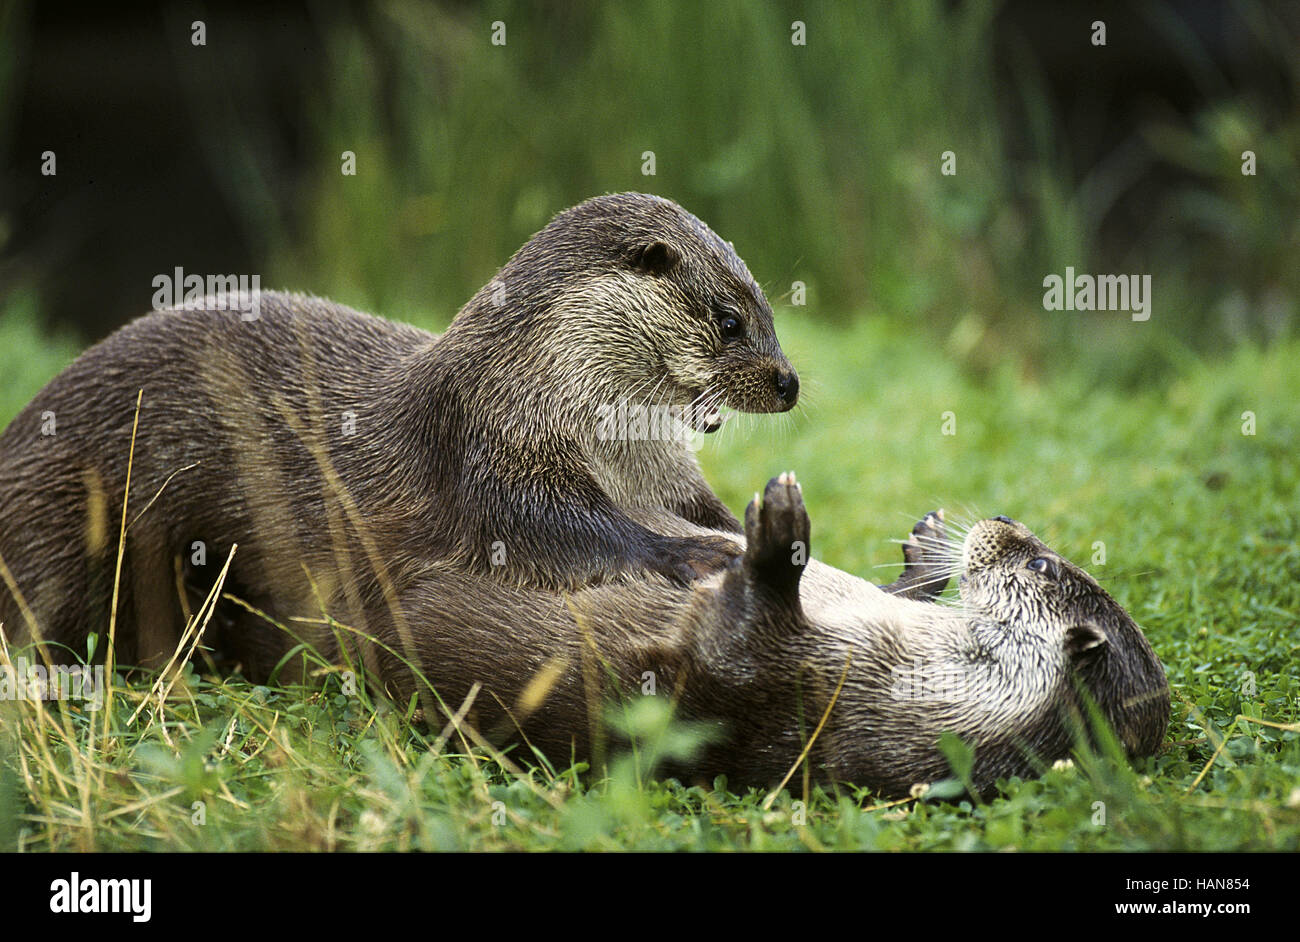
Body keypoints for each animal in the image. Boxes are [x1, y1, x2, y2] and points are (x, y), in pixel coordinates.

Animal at [0, 193, 796, 674]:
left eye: (769, 309)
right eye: (730, 319)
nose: (789, 383)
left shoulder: (663, 469)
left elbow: (697, 504)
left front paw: (750, 524)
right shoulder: (489, 446)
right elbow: (554, 530)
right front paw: (689, 553)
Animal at [365, 474, 1169, 797]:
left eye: (1038, 564)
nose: (1003, 520)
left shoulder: (804, 697)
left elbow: (730, 655)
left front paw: (780, 535)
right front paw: (921, 552)